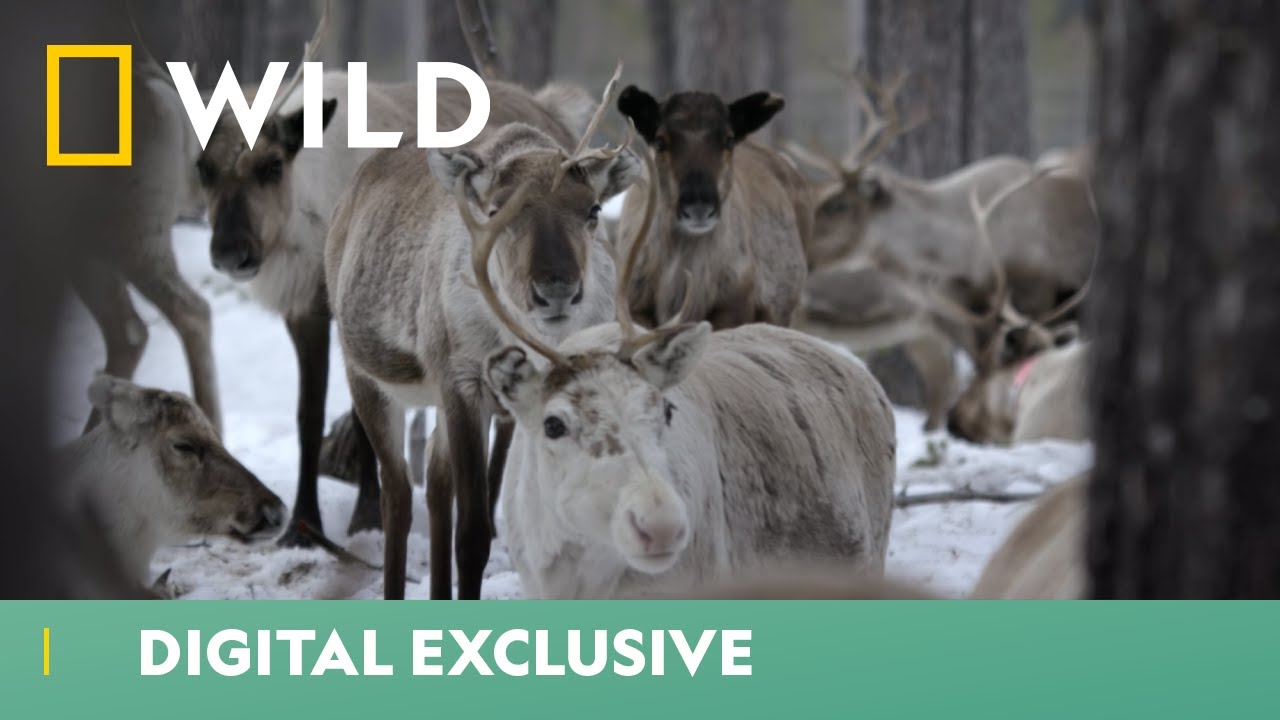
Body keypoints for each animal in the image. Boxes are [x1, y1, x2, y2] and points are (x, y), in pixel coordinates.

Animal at [196, 6, 603, 548]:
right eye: (203, 168)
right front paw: (304, 524)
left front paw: (365, 516)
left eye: (271, 165)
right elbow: (308, 414)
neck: (308, 203)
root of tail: (548, 105)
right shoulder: (308, 307)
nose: (229, 253)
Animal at [325, 66, 638, 600]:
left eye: (594, 210)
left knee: (435, 484)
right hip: (365, 376)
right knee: (397, 492)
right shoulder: (461, 383)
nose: (556, 289)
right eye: (495, 211)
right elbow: (473, 533)